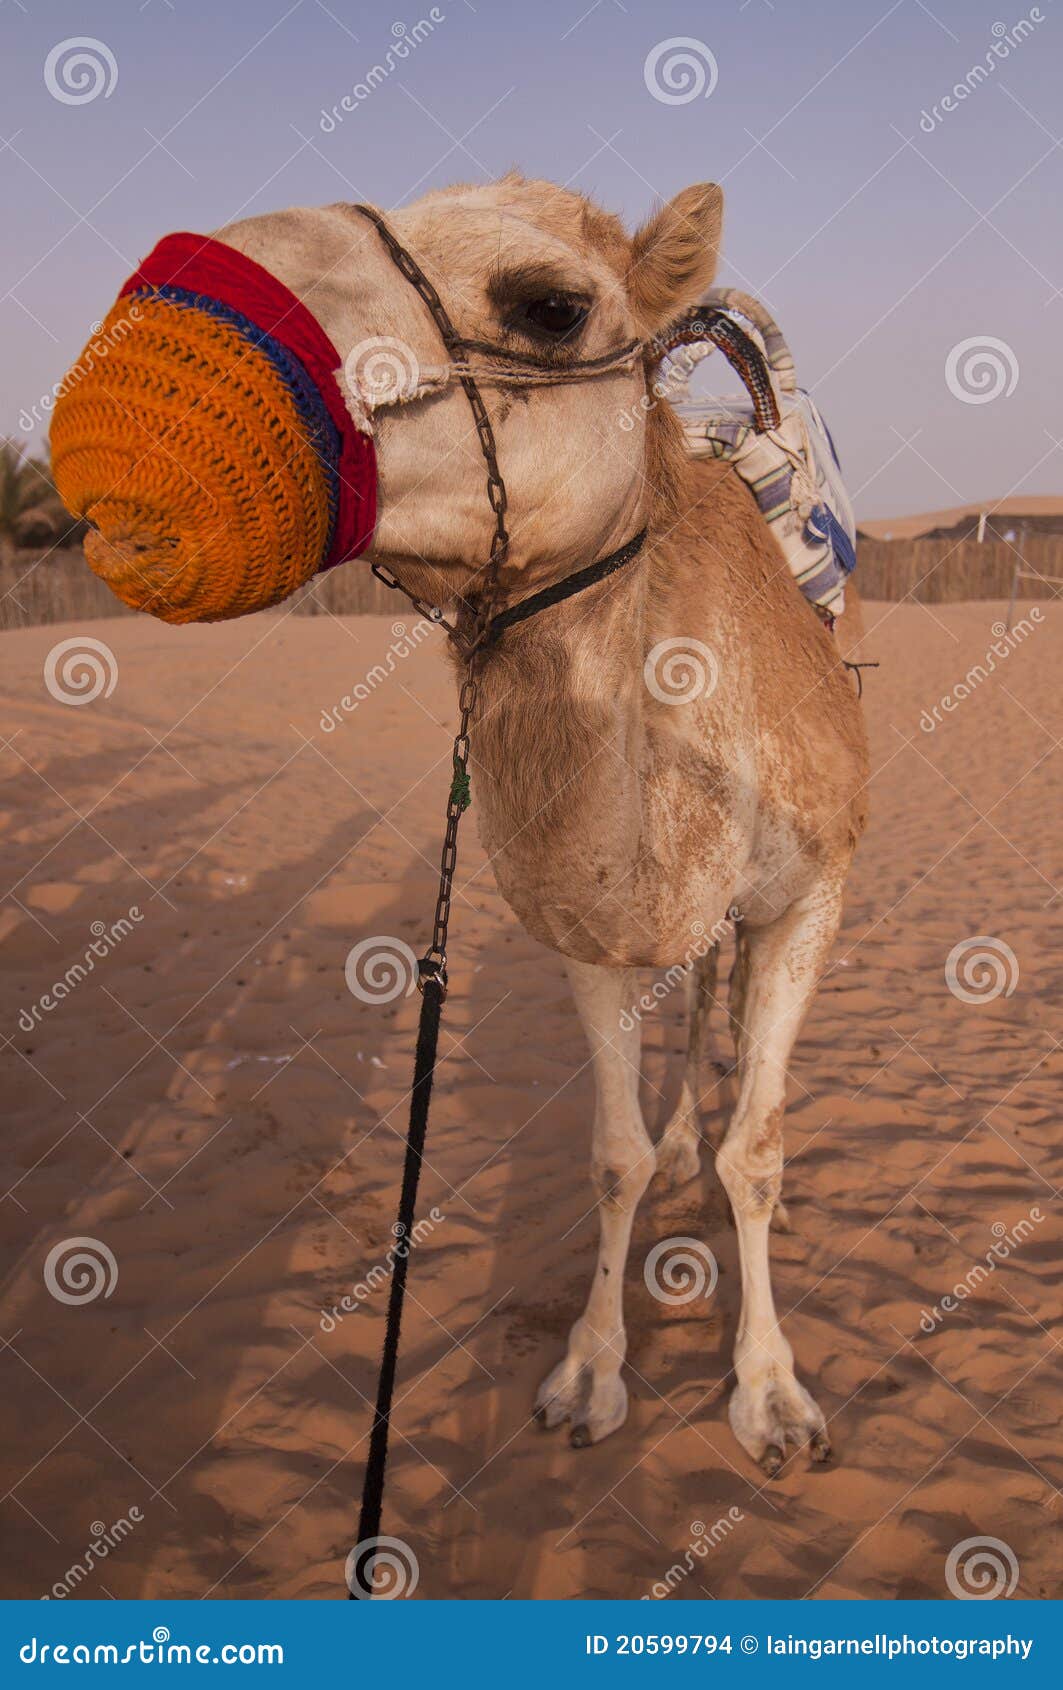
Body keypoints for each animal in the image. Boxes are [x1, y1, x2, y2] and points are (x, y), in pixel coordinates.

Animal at [221, 174, 870, 1475]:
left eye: (551, 307)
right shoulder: (586, 921)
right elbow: (613, 1155)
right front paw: (587, 1375)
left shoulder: (813, 888)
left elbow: (764, 1150)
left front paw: (772, 1397)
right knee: (697, 991)